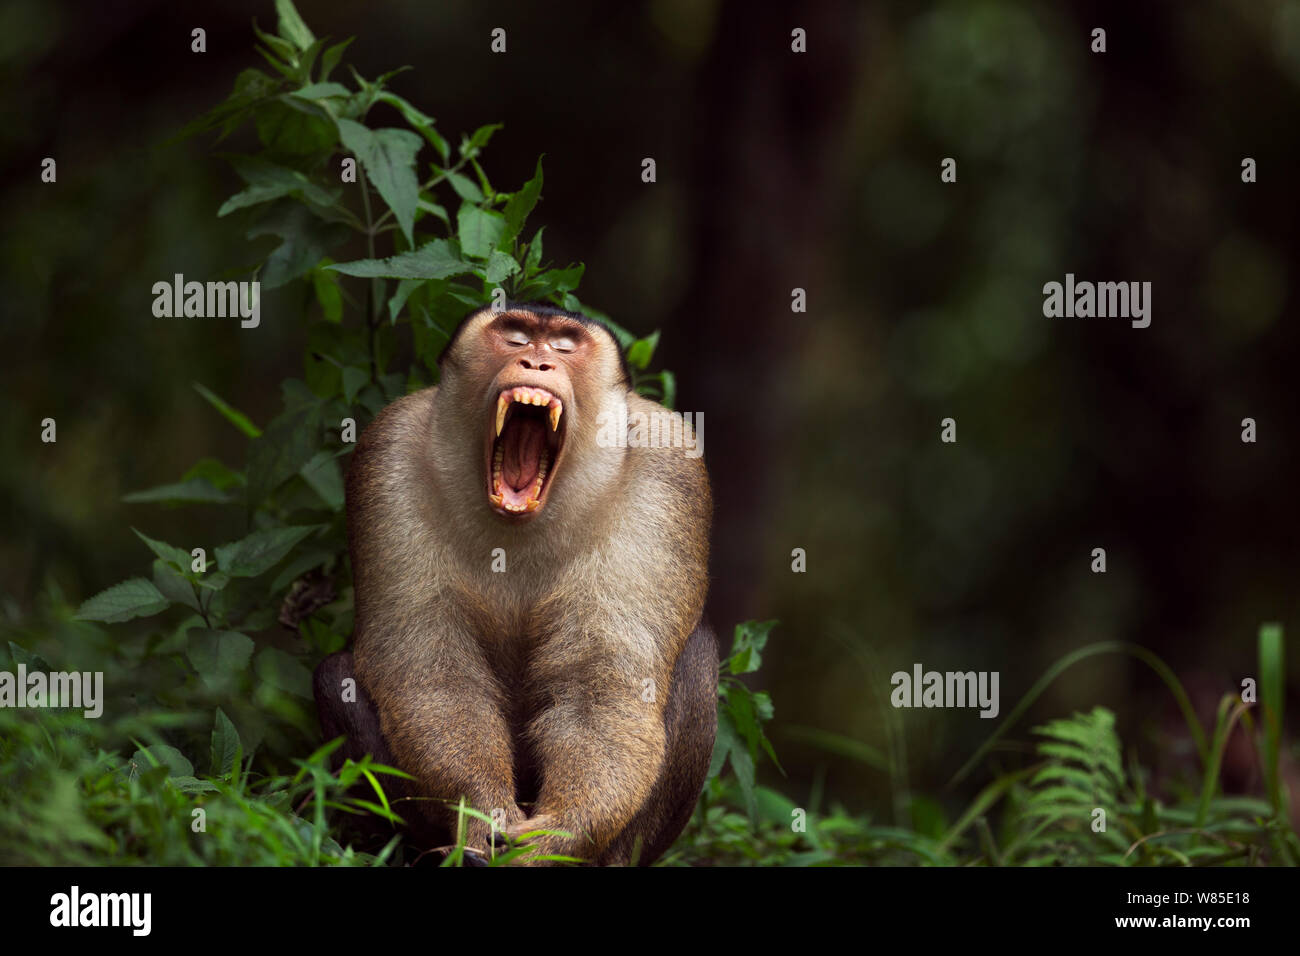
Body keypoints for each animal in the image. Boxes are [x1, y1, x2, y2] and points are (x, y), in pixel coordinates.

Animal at [313, 302, 715, 865]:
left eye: (565, 345)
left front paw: (558, 838)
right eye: (516, 336)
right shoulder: (388, 452)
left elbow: (603, 680)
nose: (537, 362)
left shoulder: (669, 469)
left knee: (697, 656)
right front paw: (483, 815)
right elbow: (430, 669)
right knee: (335, 676)